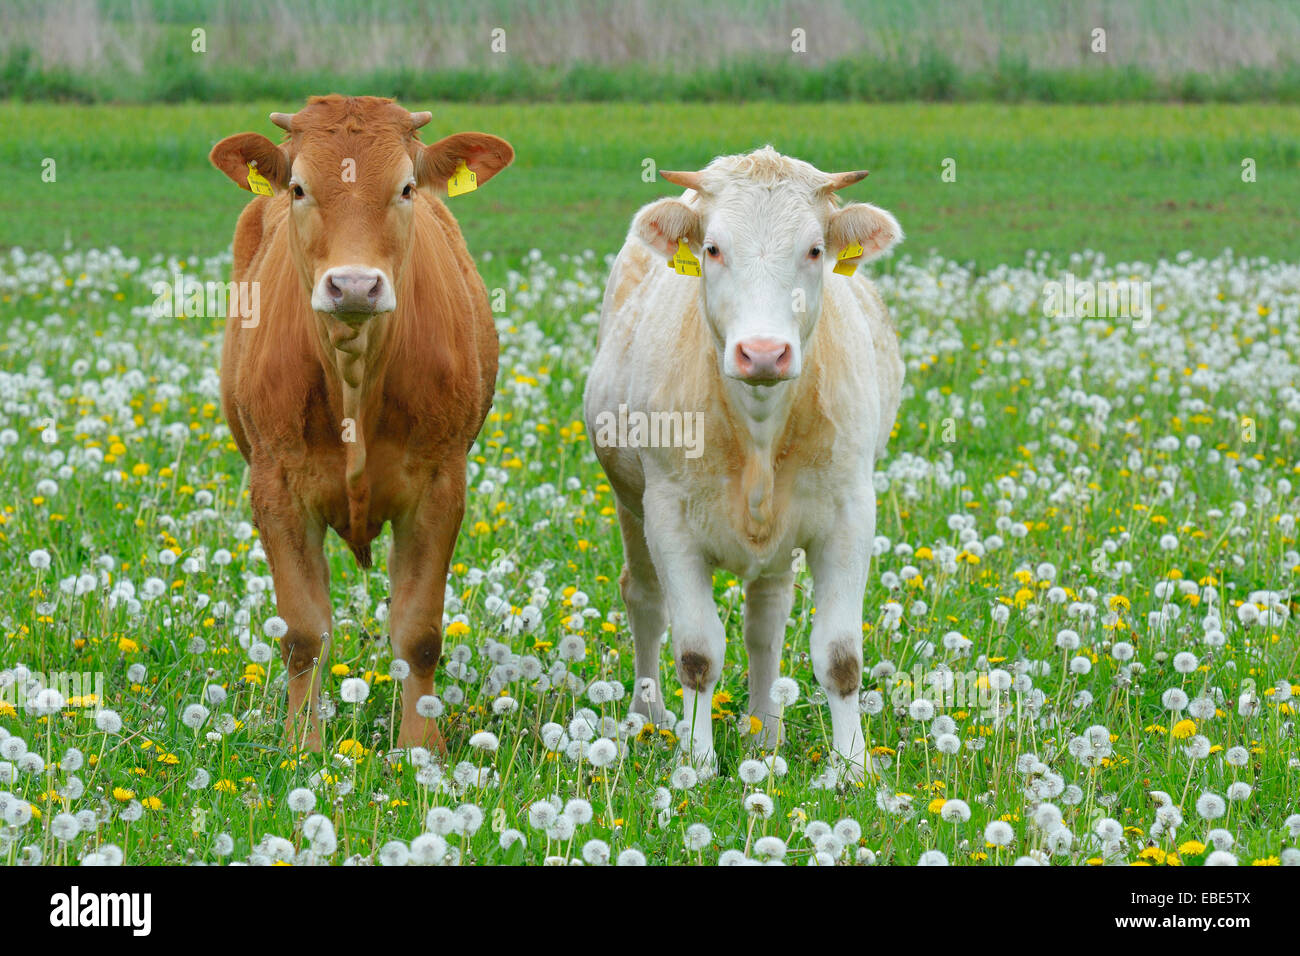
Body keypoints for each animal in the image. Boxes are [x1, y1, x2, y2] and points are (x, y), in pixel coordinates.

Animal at [209, 95, 512, 751]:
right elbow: (304, 634)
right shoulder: (276, 488)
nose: (353, 285)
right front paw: (301, 746)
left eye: (405, 188)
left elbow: (418, 632)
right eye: (299, 187)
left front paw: (421, 749)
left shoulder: (439, 487)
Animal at [584, 146, 904, 779]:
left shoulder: (850, 514)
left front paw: (854, 768)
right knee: (645, 603)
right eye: (712, 248)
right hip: (631, 505)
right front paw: (696, 763)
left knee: (766, 623)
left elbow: (840, 656)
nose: (762, 352)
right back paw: (648, 718)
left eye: (815, 249)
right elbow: (696, 652)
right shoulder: (669, 518)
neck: (757, 427)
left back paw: (764, 735)